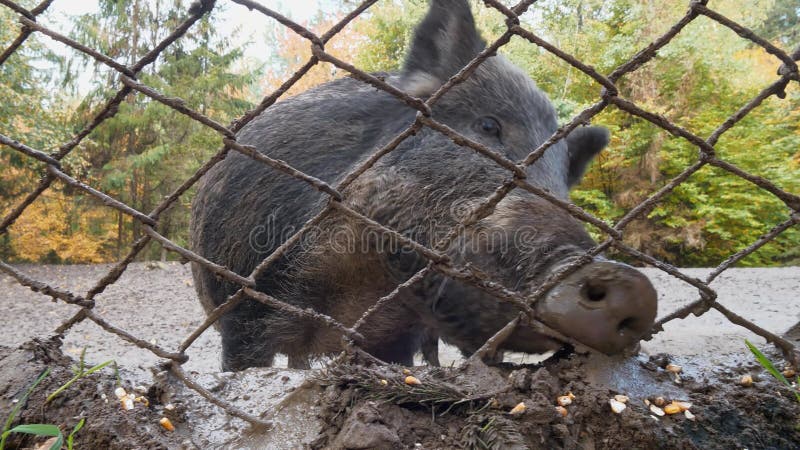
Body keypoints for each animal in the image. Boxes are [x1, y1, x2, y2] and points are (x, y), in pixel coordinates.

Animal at [190, 0, 658, 371]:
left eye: (562, 180)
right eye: (487, 126)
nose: (629, 283)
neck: (356, 287)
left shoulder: (395, 339)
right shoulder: (242, 308)